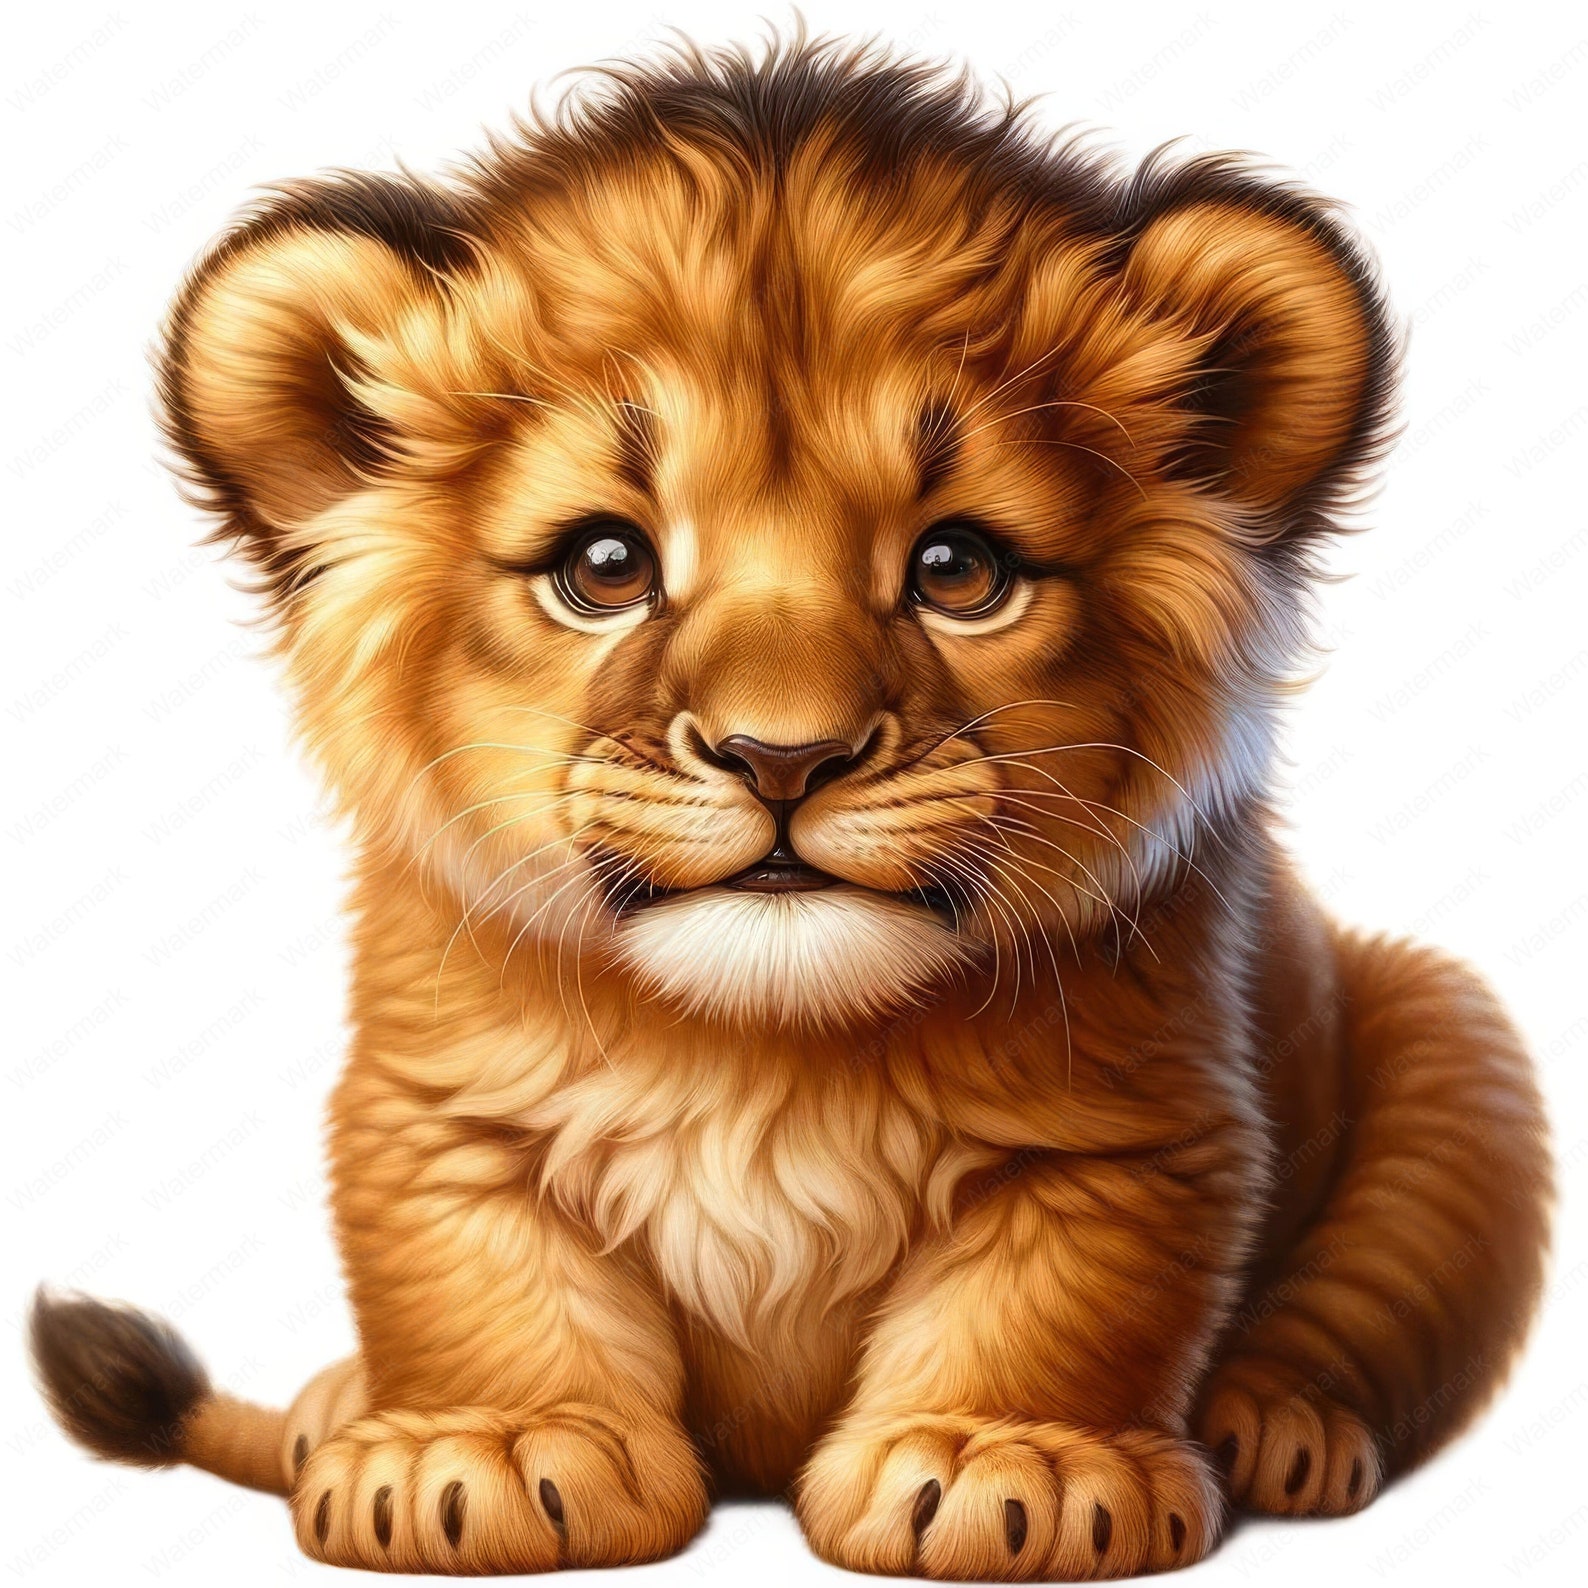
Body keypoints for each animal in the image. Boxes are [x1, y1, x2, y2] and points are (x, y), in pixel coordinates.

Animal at [31, 34, 1551, 1581]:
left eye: (957, 568)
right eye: (603, 566)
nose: (782, 756)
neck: (761, 1056)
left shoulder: (1133, 1131)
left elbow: (1064, 1297)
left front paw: (1009, 1464)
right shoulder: (434, 1107)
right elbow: (467, 1270)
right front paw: (486, 1450)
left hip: (1454, 1049)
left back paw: (1276, 1424)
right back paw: (335, 1410)